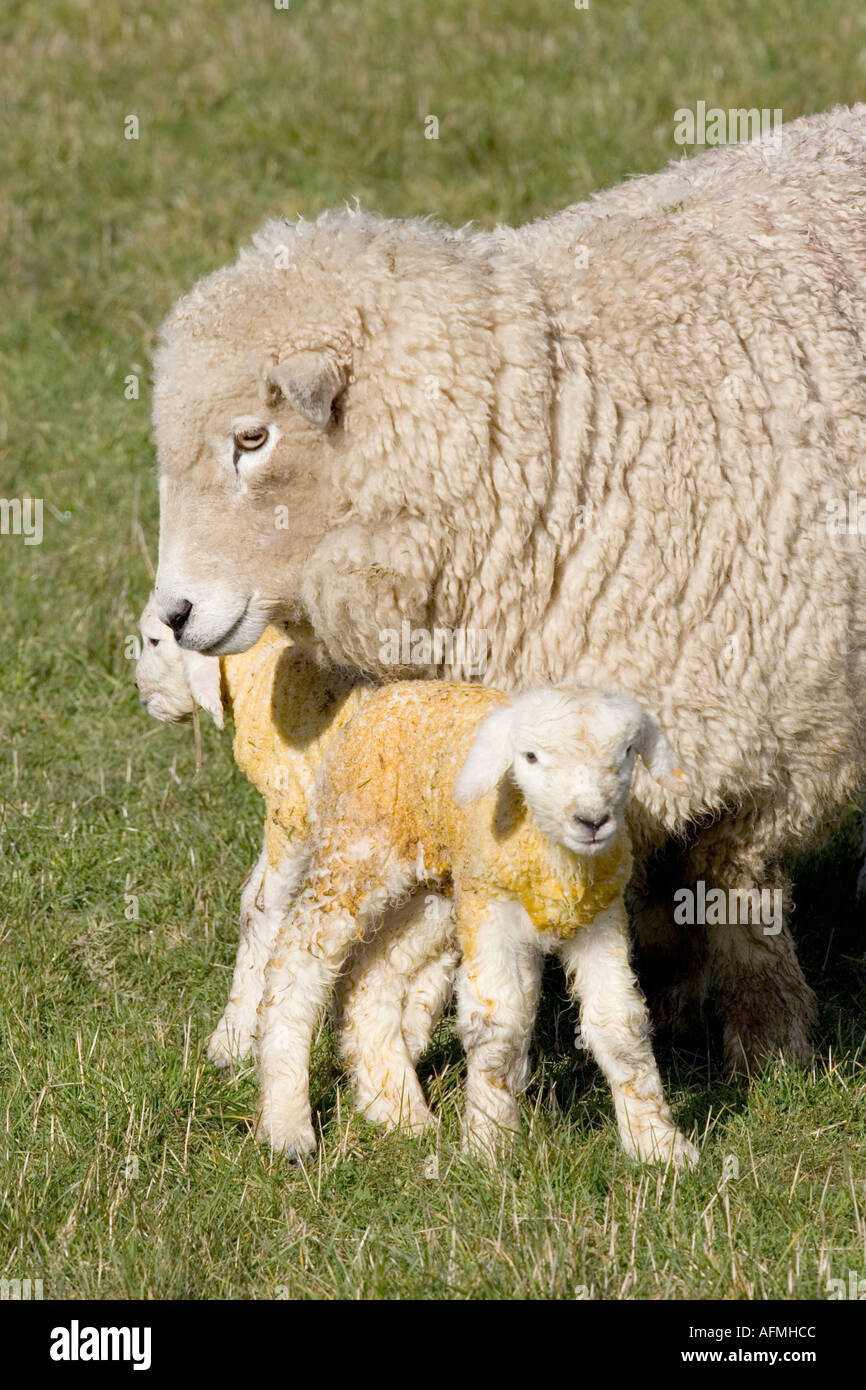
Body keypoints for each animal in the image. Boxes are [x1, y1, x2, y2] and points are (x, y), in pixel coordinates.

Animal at [134, 597, 458, 1132]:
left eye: (156, 640)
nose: (142, 697)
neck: (259, 672)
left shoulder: (293, 809)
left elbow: (264, 909)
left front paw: (235, 1040)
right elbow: (255, 902)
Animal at [150, 104, 866, 1071]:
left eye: (252, 438)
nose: (175, 614)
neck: (562, 440)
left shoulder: (787, 729)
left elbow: (734, 882)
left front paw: (771, 1038)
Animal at [255, 681, 698, 1168]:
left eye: (626, 752)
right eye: (530, 757)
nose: (591, 820)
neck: (555, 862)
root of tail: (385, 694)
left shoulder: (600, 919)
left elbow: (621, 1025)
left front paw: (659, 1143)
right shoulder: (490, 910)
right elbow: (498, 1026)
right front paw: (490, 1143)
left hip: (434, 895)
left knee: (372, 978)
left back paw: (398, 1110)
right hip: (355, 850)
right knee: (296, 958)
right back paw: (287, 1124)